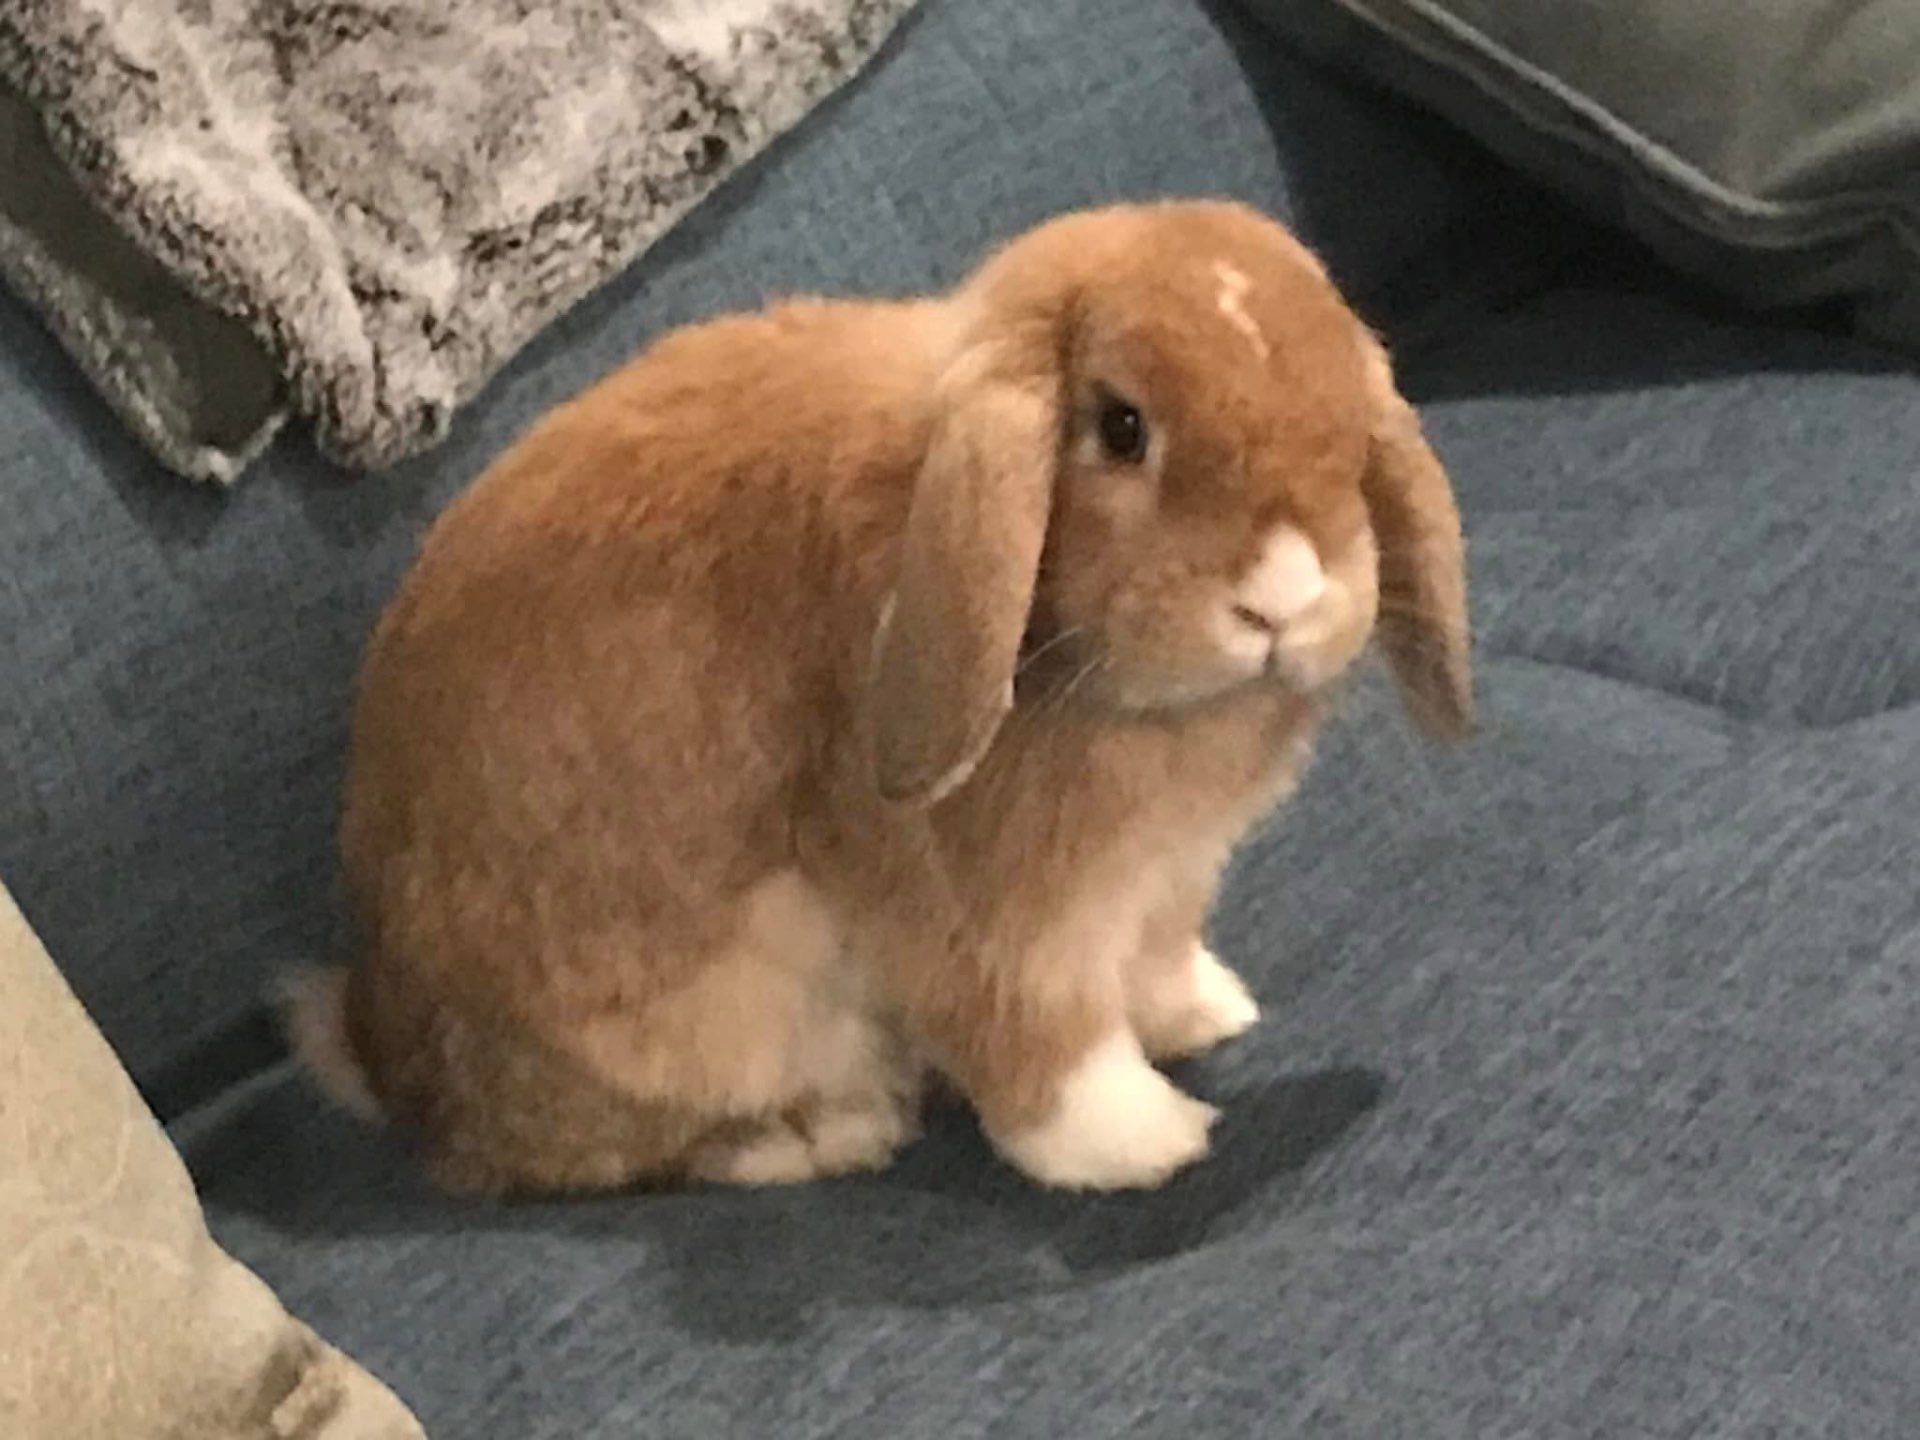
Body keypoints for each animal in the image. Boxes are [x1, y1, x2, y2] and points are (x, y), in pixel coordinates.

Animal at [287, 199, 1474, 1197]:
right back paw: (826, 1133)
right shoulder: (990, 923)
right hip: (682, 1032)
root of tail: (381, 1056)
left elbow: (1156, 960)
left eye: (1346, 429)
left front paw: (1206, 1013)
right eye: (1122, 426)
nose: (1285, 597)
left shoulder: (1162, 882)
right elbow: (1049, 1053)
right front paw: (1149, 1141)